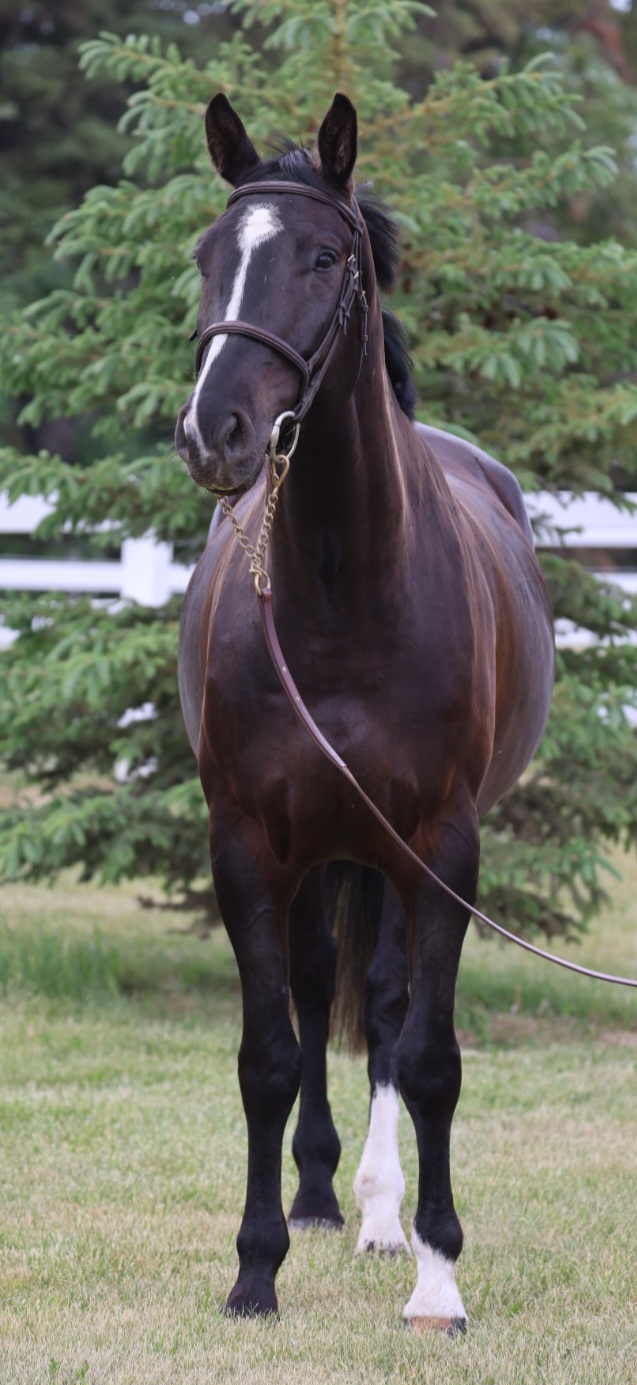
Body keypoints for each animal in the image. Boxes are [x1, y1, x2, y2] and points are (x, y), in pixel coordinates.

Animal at [175, 91, 555, 1333]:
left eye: (322, 257)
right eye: (209, 255)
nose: (215, 432)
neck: (349, 590)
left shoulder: (440, 846)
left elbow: (428, 1053)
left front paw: (439, 1276)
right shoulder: (247, 843)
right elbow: (267, 1054)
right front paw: (253, 1269)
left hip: (385, 855)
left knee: (384, 1009)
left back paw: (389, 1219)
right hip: (321, 851)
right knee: (312, 993)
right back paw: (318, 1198)